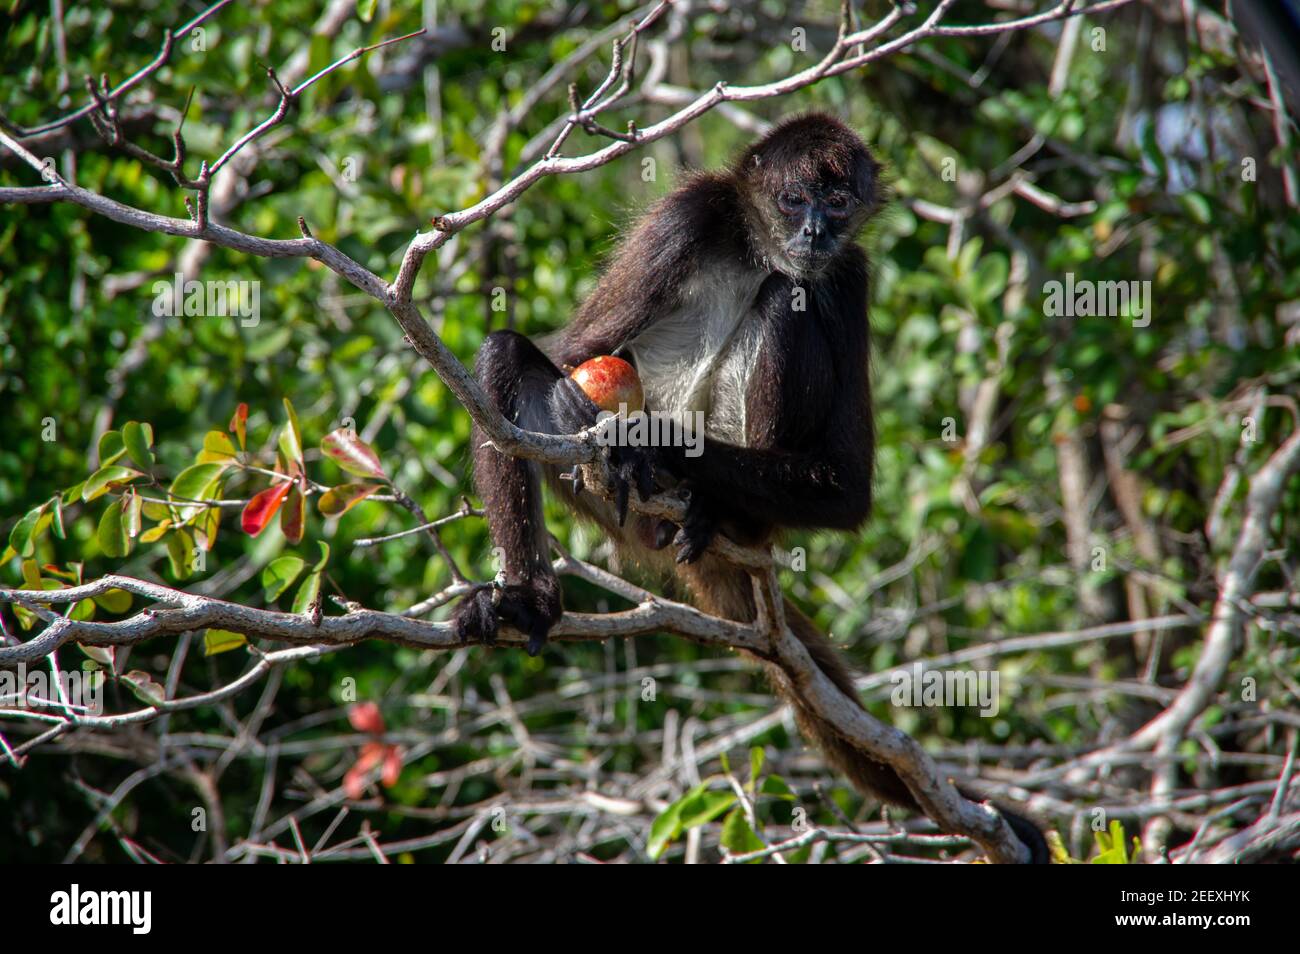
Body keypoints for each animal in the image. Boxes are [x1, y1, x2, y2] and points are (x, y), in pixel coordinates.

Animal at [452, 113, 1049, 863]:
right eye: (794, 201)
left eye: (839, 203)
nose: (816, 232)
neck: (759, 251)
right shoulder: (687, 219)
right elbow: (568, 356)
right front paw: (588, 415)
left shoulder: (850, 275)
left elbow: (845, 490)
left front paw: (652, 442)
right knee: (503, 355)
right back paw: (529, 598)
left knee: (790, 301)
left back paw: (709, 506)